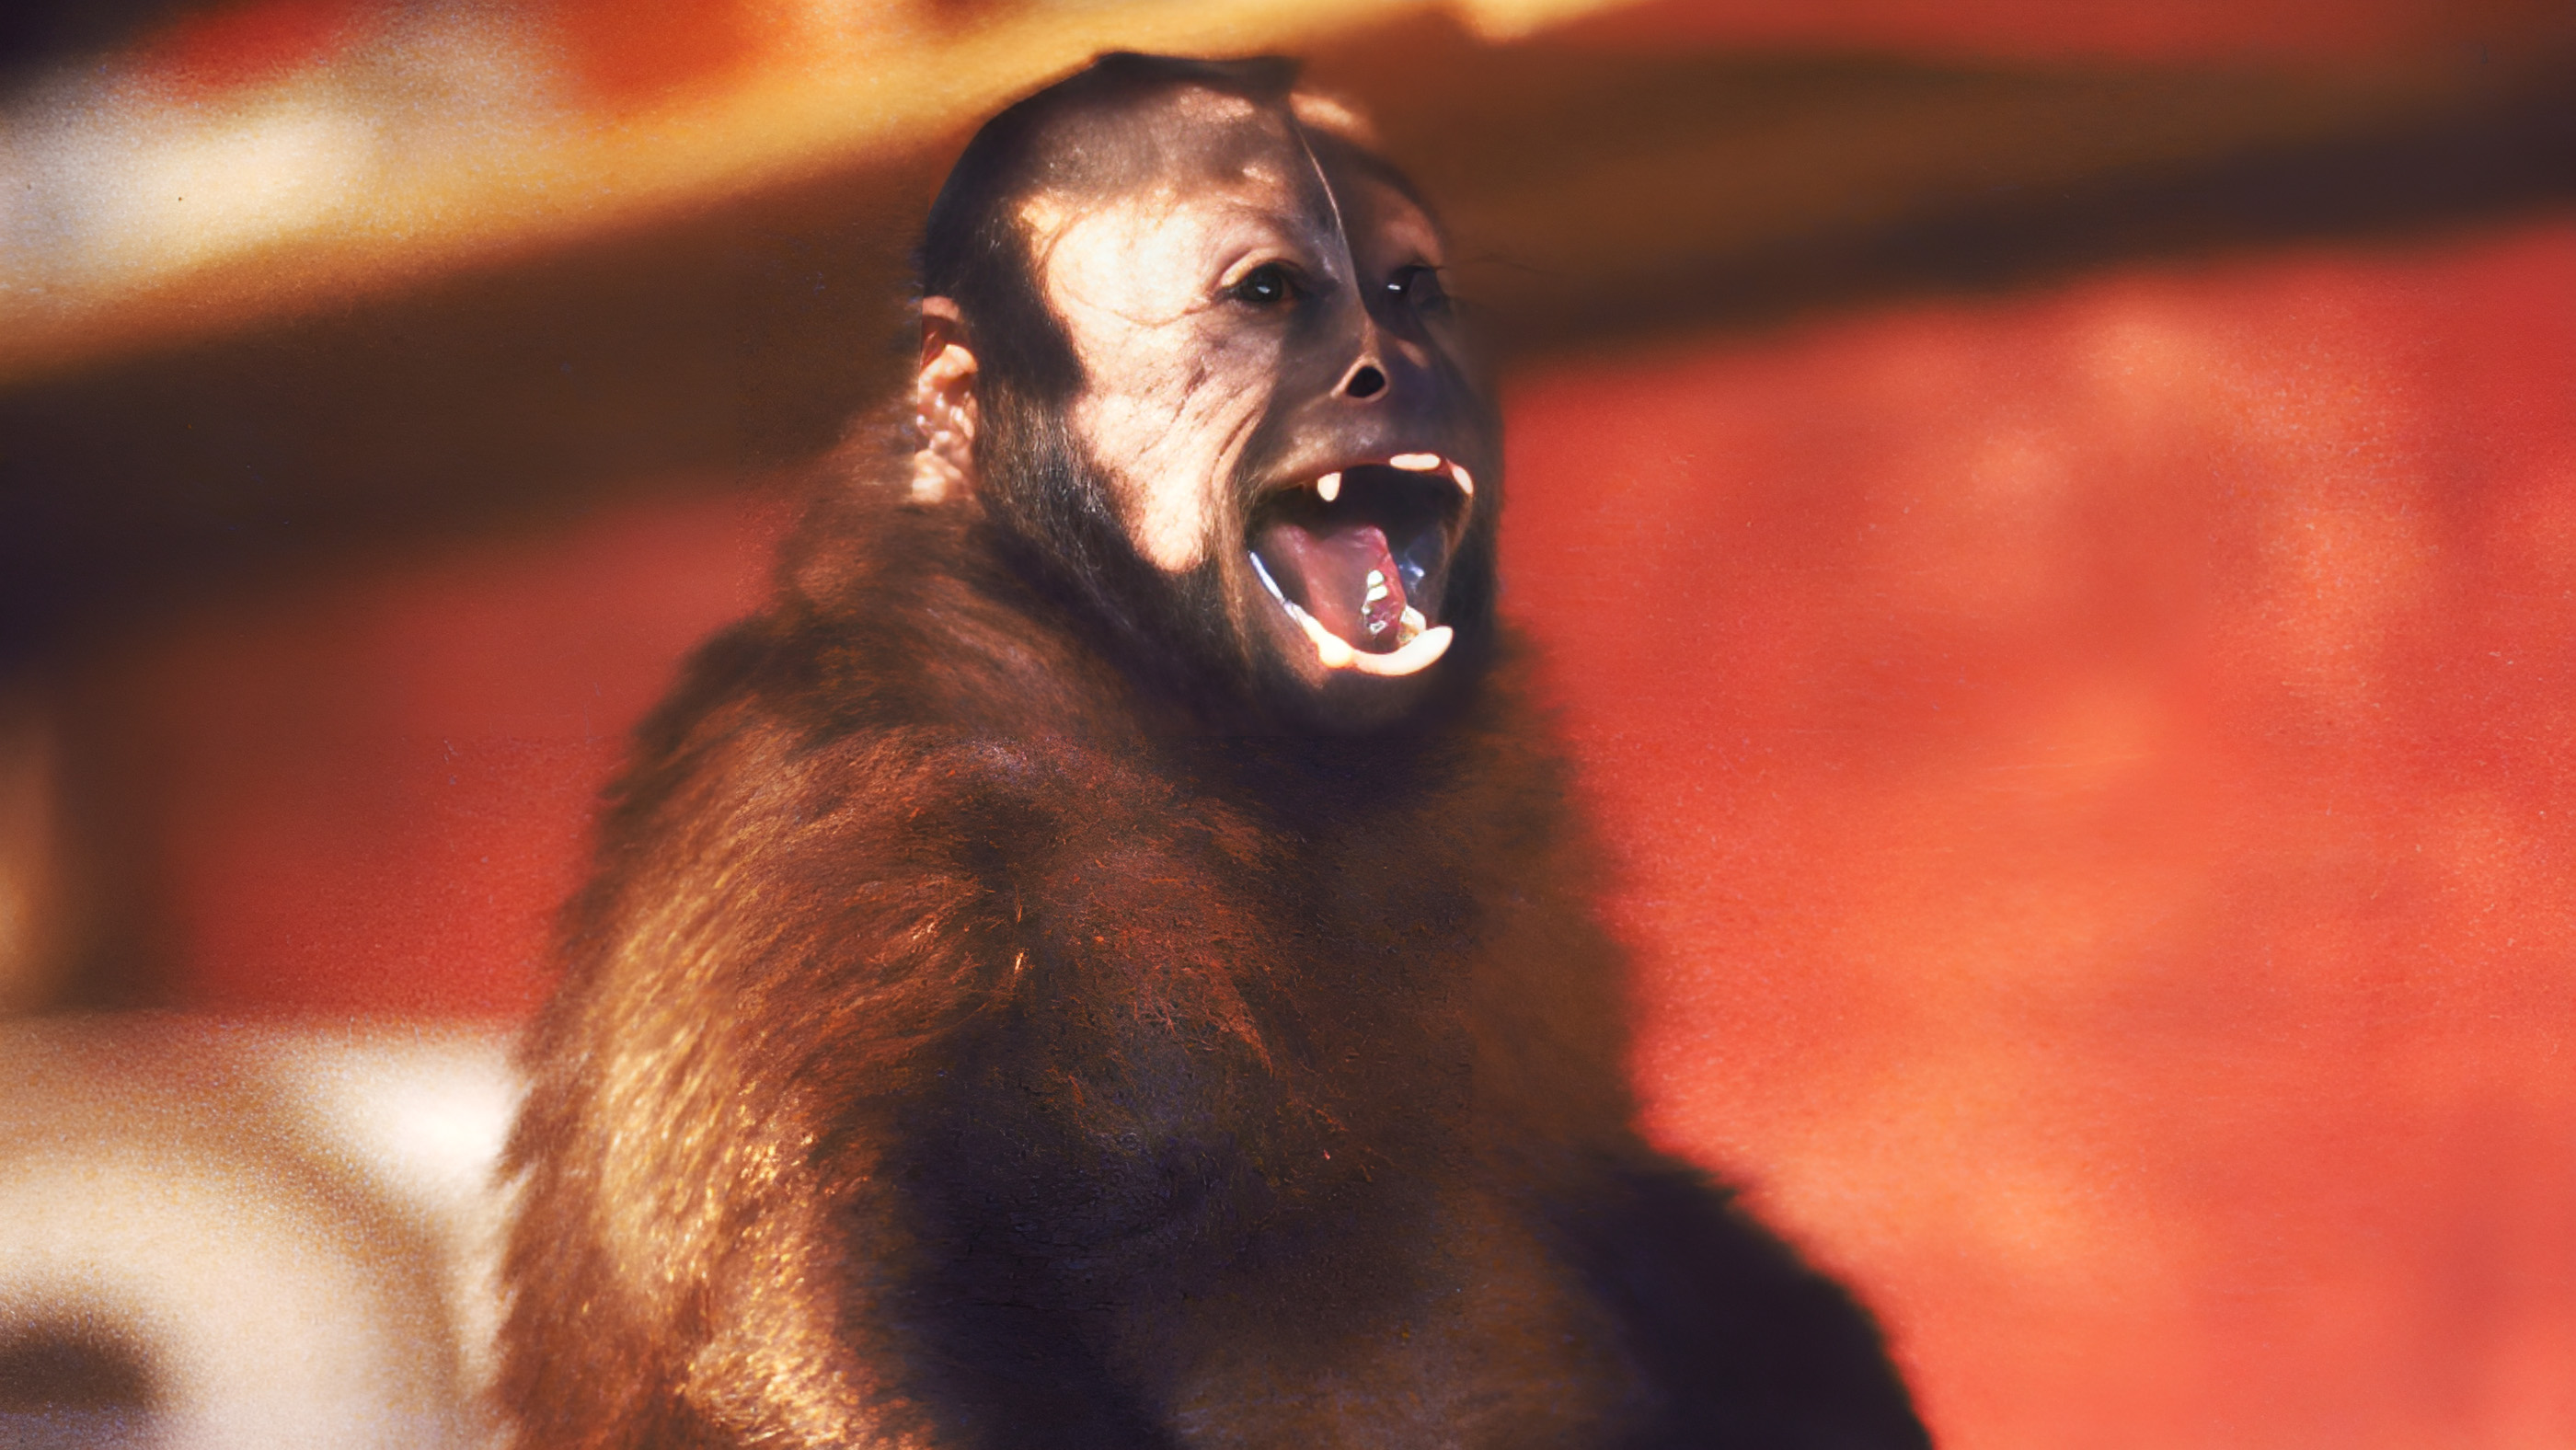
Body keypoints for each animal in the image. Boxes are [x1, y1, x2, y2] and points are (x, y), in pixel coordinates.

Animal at [498, 53, 1931, 1450]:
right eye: (1269, 295)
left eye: (1407, 293)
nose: (1385, 369)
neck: (1135, 670)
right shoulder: (825, 806)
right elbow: (808, 1308)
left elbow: (1612, 1189)